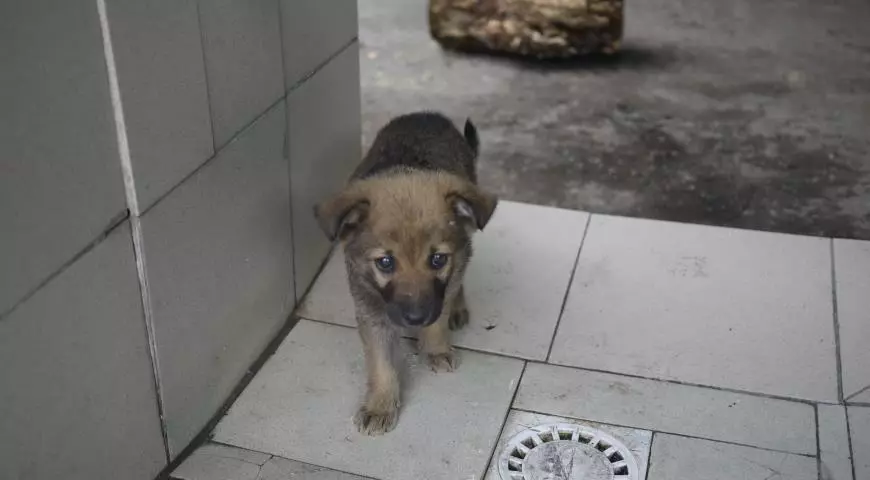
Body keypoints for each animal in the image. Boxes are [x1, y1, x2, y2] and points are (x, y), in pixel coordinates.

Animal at [316, 111, 500, 436]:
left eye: (438, 259)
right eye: (385, 263)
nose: (415, 318)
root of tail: (427, 115)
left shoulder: (442, 286)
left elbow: (439, 315)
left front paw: (436, 347)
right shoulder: (369, 309)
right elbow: (381, 364)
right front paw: (380, 405)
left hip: (466, 235)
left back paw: (458, 308)